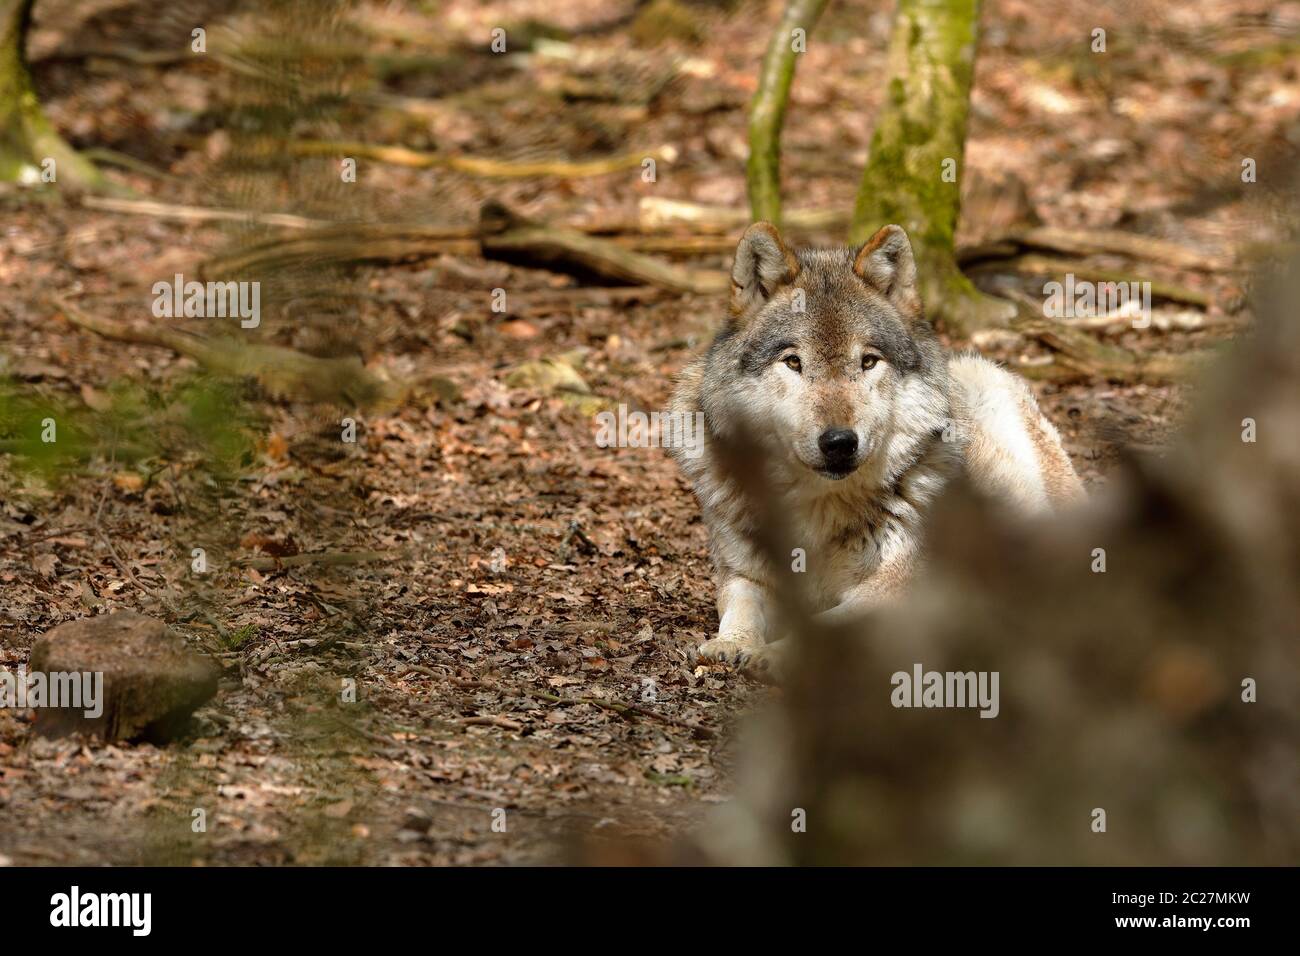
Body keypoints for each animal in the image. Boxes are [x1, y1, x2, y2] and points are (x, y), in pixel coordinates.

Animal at [672, 222, 1084, 679]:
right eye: (793, 362)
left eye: (868, 361)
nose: (839, 442)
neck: (818, 508)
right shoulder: (744, 574)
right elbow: (741, 606)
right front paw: (731, 643)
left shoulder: (890, 591)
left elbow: (824, 624)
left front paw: (774, 654)